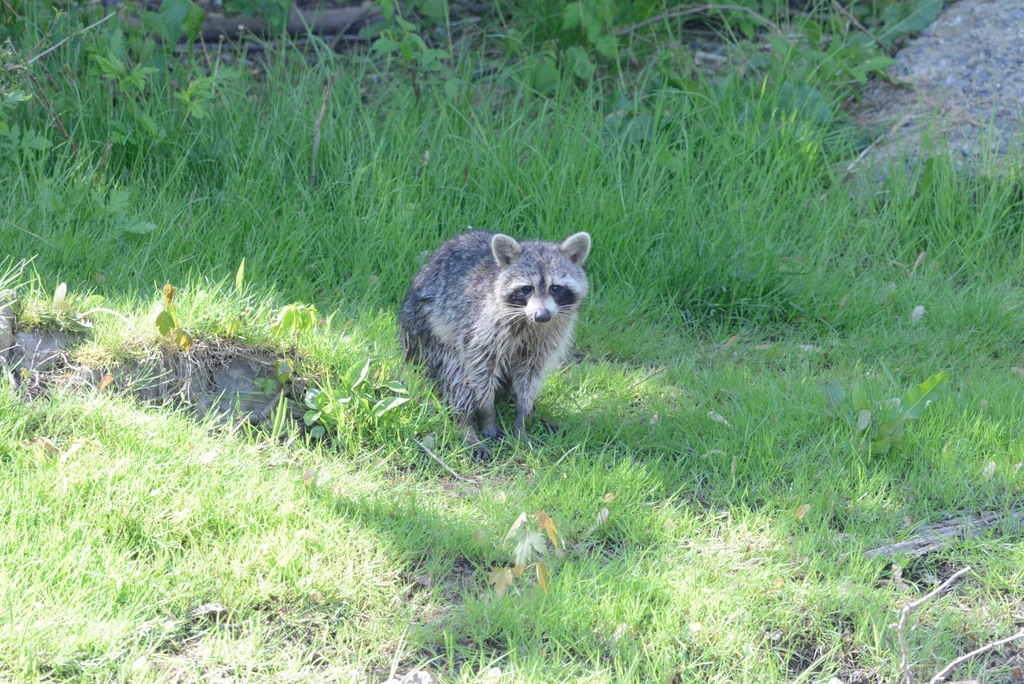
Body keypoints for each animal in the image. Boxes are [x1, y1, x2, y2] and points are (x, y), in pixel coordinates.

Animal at [399, 229, 591, 460]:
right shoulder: (482, 327)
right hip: (426, 336)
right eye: (527, 289)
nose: (542, 315)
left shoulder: (548, 334)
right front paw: (487, 414)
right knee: (457, 376)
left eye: (556, 288)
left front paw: (523, 414)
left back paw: (534, 414)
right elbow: (481, 369)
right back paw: (466, 425)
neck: (528, 321)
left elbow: (531, 375)